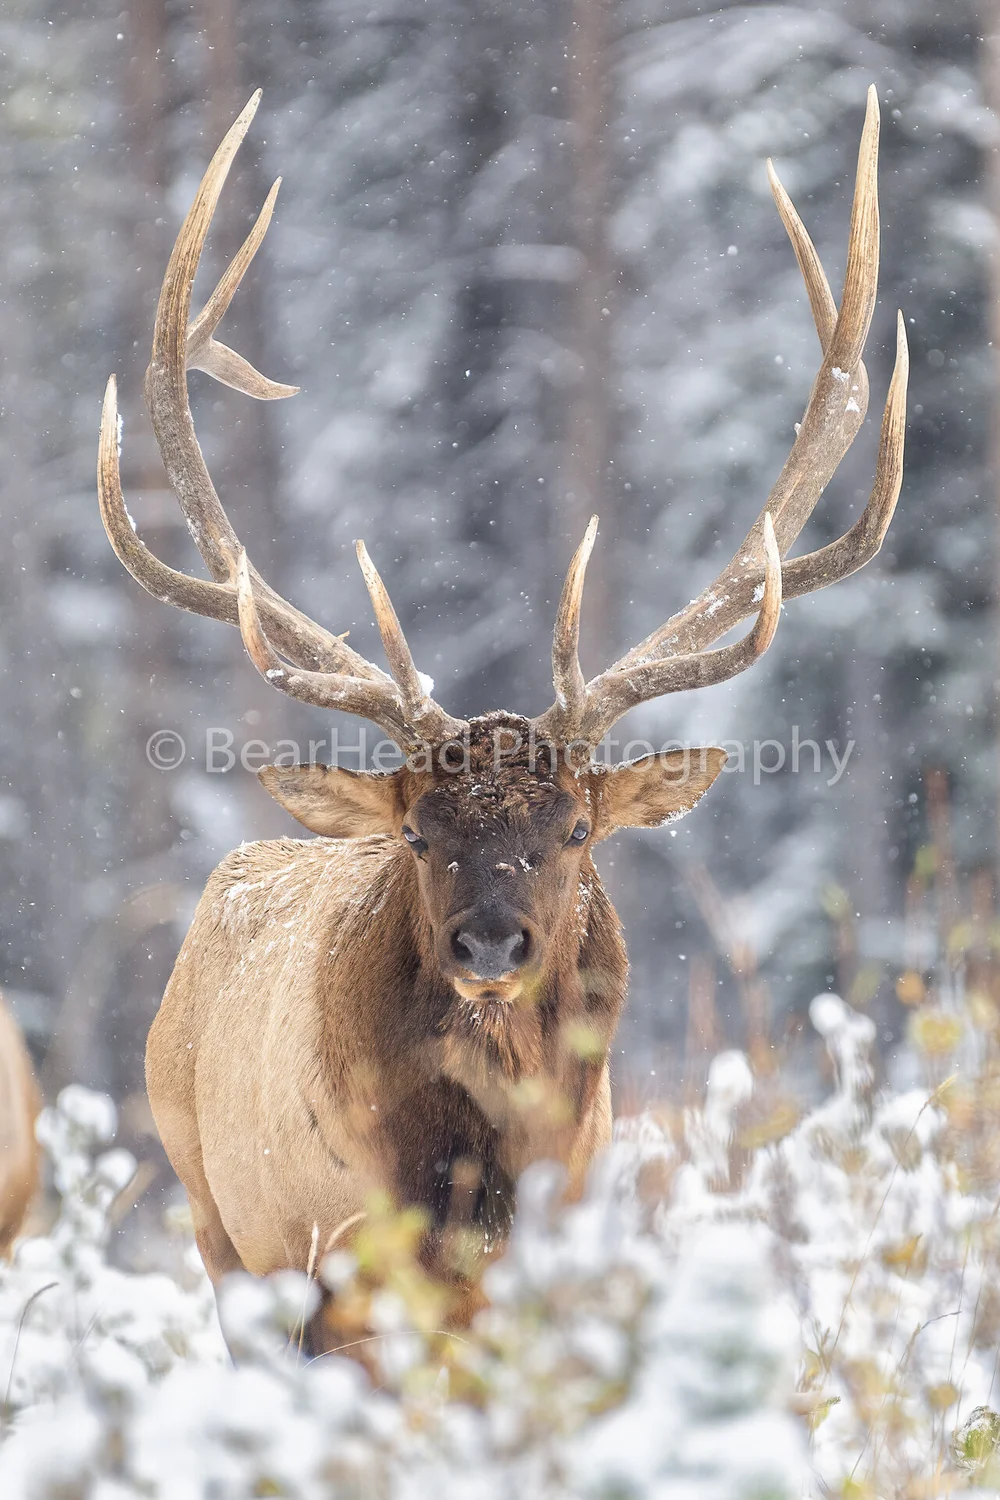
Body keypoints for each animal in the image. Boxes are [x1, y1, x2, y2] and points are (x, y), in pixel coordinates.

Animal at [97, 87, 906, 1344]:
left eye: (574, 830)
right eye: (415, 832)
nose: (488, 943)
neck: (471, 1190)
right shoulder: (328, 1262)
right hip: (213, 1218)